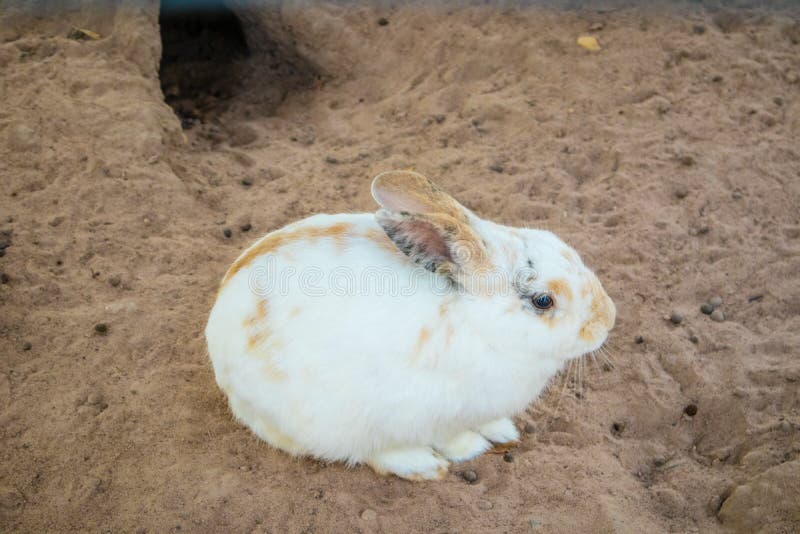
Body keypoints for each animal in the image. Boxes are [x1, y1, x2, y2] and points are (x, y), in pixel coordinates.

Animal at [205, 170, 615, 480]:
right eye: (543, 301)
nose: (607, 320)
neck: (479, 326)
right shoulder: (435, 417)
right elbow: (453, 439)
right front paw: (471, 449)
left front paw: (503, 431)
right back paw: (422, 465)